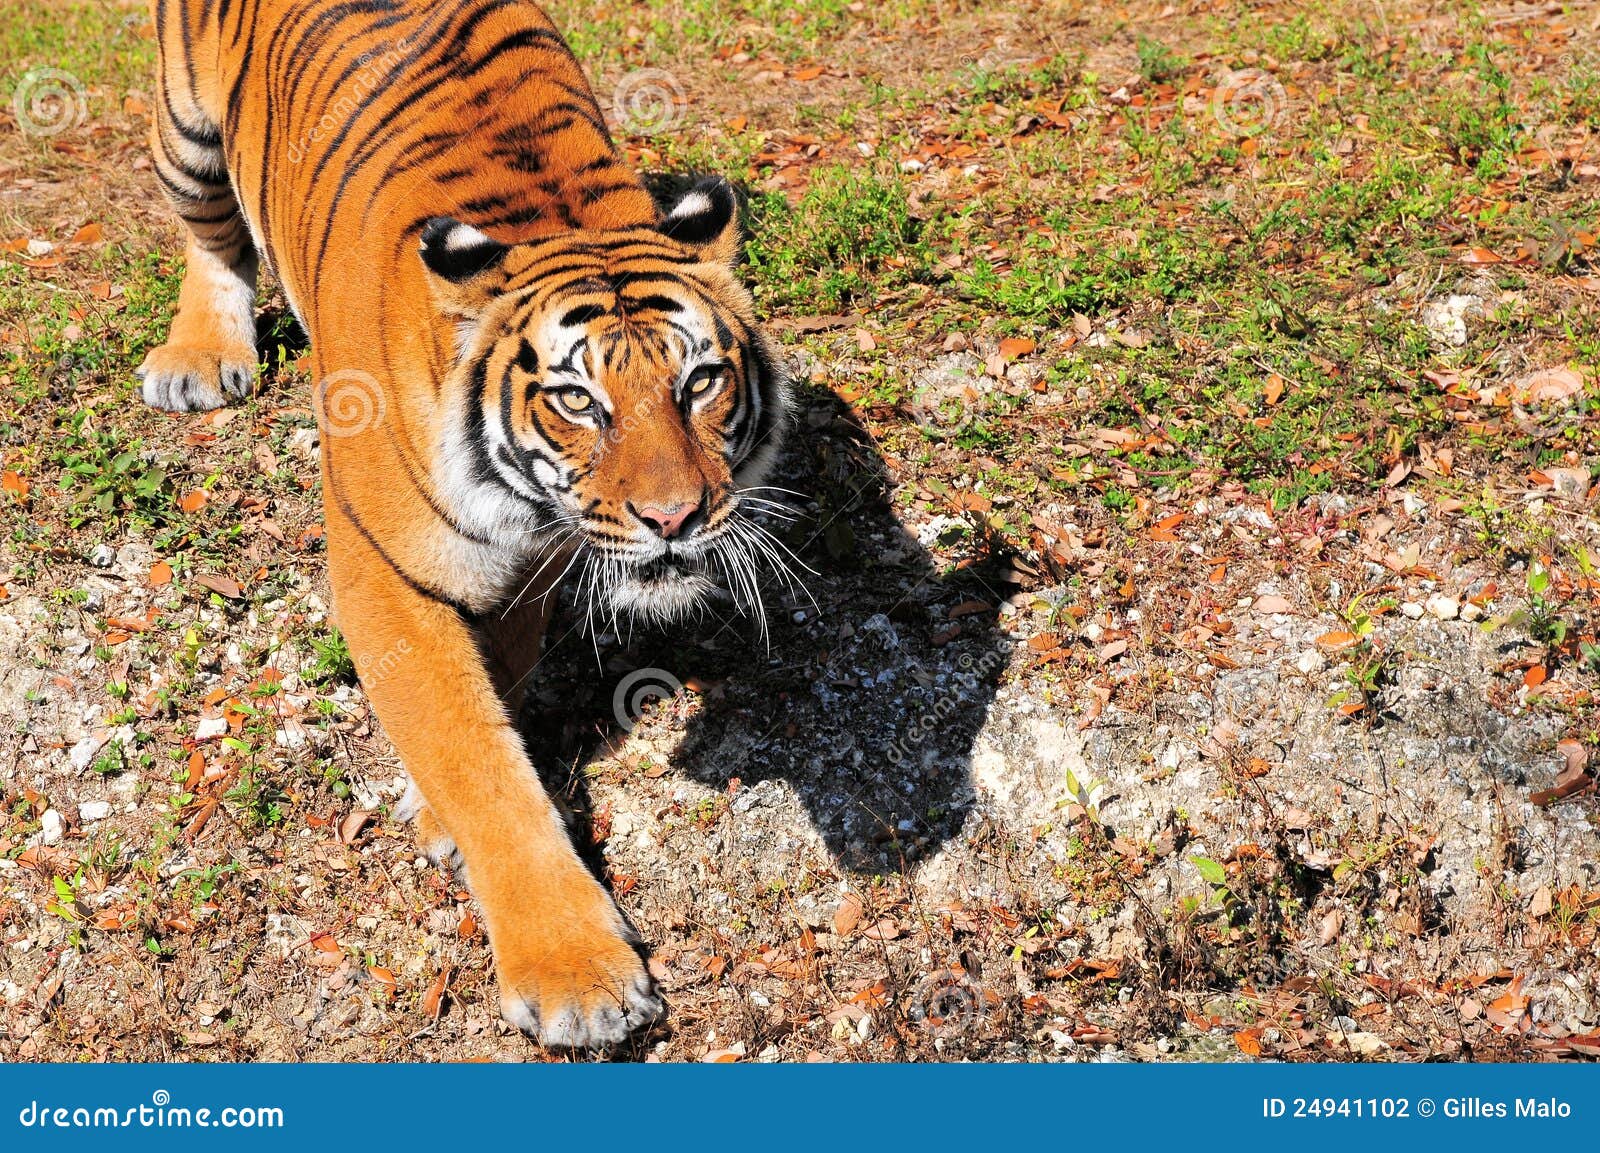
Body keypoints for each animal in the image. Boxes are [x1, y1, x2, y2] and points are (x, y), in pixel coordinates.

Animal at [139, 0, 789, 1048]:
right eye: (576, 400)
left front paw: (449, 804)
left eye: (700, 382)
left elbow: (501, 686)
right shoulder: (387, 574)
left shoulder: (533, 560)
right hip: (186, 131)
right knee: (210, 239)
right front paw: (576, 972)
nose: (675, 516)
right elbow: (473, 759)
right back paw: (200, 357)